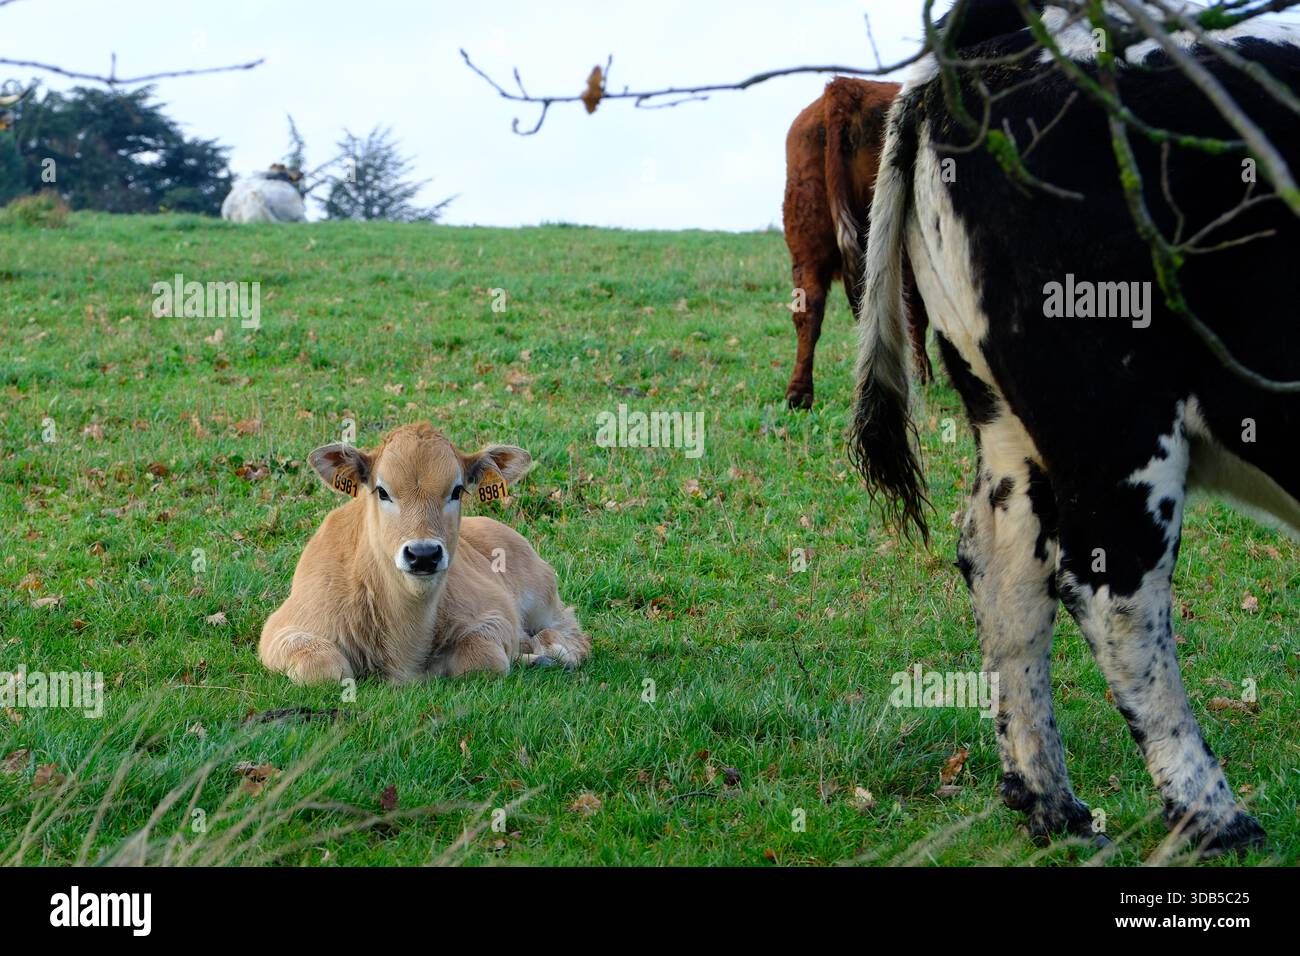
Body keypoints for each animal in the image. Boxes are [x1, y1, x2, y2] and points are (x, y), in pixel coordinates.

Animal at [260, 423, 591, 683]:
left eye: (457, 490)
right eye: (382, 491)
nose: (423, 554)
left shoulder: (493, 613)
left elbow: (484, 661)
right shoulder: (282, 629)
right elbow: (323, 669)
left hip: (543, 600)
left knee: (571, 630)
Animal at [850, 0, 1299, 855]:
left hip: (1011, 421)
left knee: (1004, 570)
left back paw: (1049, 804)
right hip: (1112, 411)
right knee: (1115, 590)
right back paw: (1215, 817)